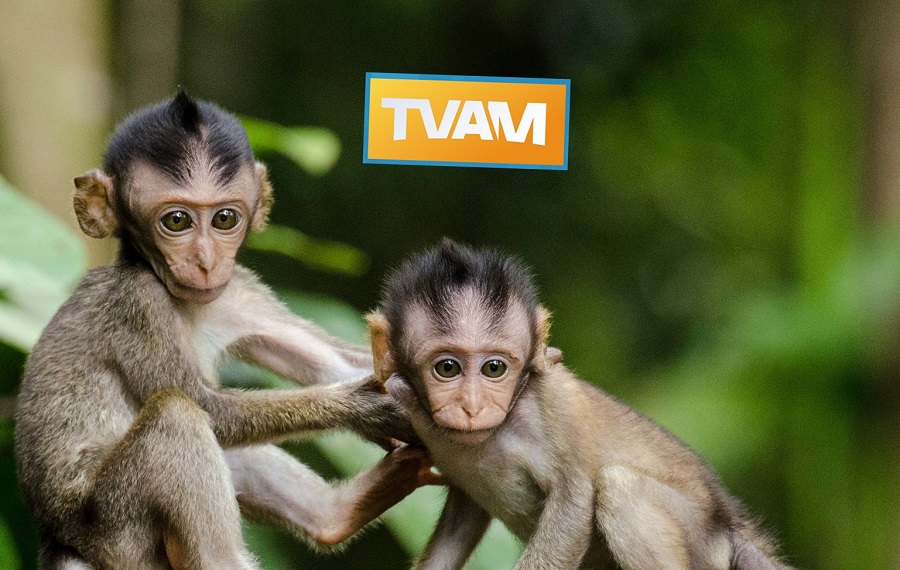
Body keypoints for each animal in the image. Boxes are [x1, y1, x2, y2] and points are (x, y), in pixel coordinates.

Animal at [14, 91, 435, 570]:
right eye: (176, 221)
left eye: (224, 219)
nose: (206, 261)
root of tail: (60, 541)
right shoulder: (138, 304)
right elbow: (208, 407)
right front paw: (361, 408)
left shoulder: (239, 291)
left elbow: (335, 362)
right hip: (116, 531)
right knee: (177, 415)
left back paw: (334, 516)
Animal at [366, 239, 791, 570]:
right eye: (447, 368)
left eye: (494, 368)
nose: (472, 407)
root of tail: (727, 521)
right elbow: (463, 516)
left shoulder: (553, 405)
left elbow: (572, 504)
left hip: (700, 541)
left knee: (620, 487)